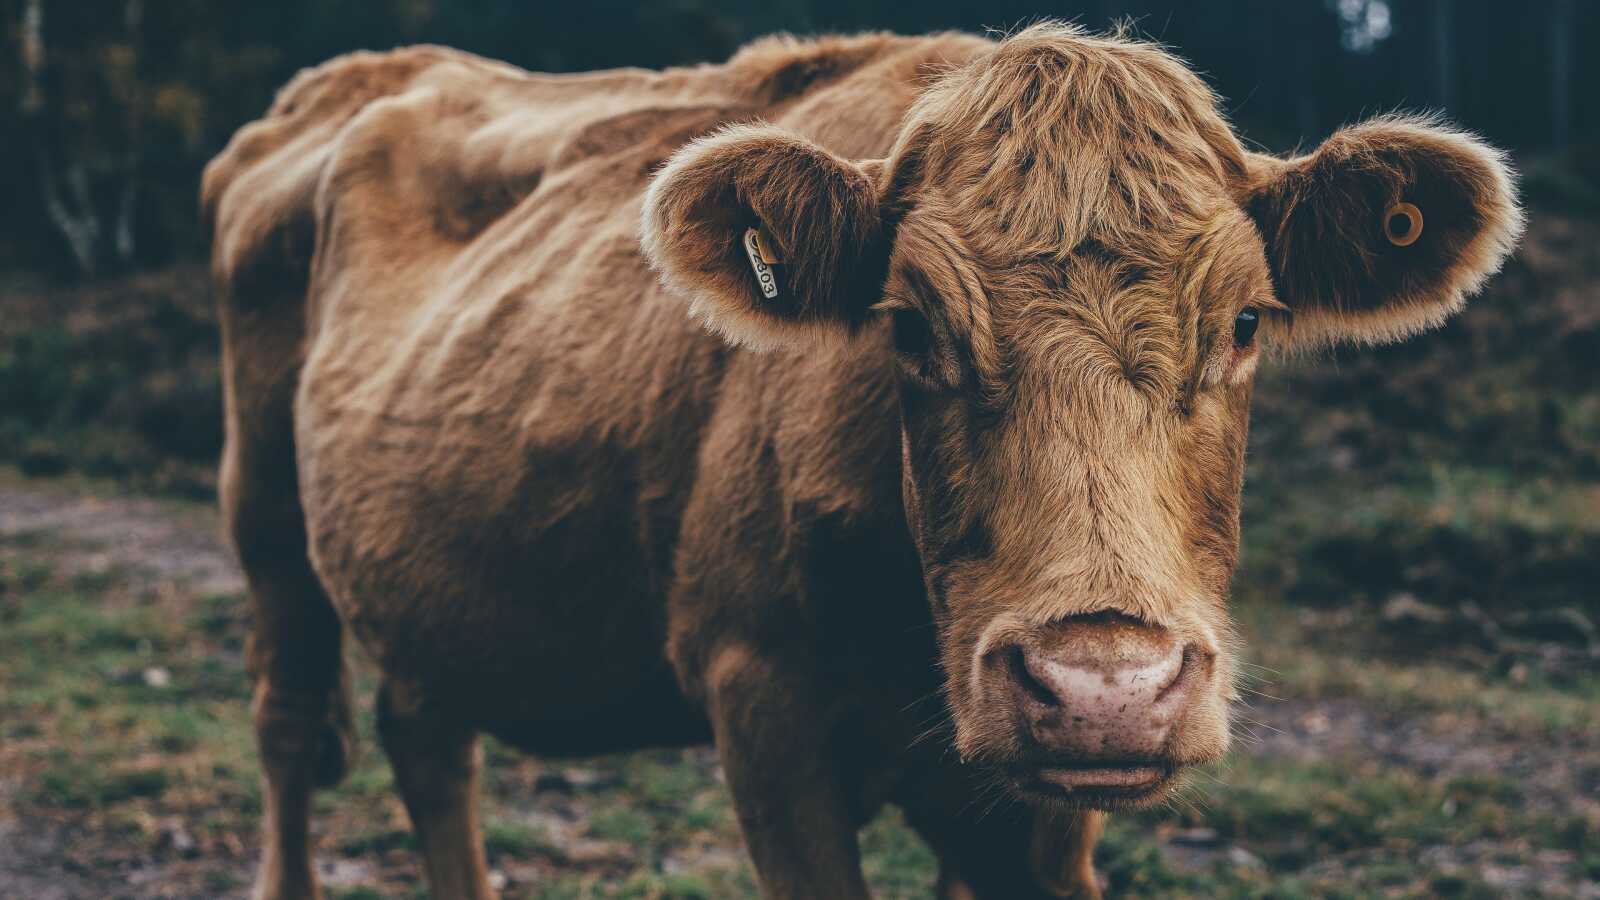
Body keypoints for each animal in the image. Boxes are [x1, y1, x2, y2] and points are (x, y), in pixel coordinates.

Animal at [202, 22, 1521, 900]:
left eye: (1245, 323)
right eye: (911, 326)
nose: (1103, 686)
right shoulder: (761, 703)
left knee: (427, 735)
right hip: (260, 515)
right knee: (285, 724)